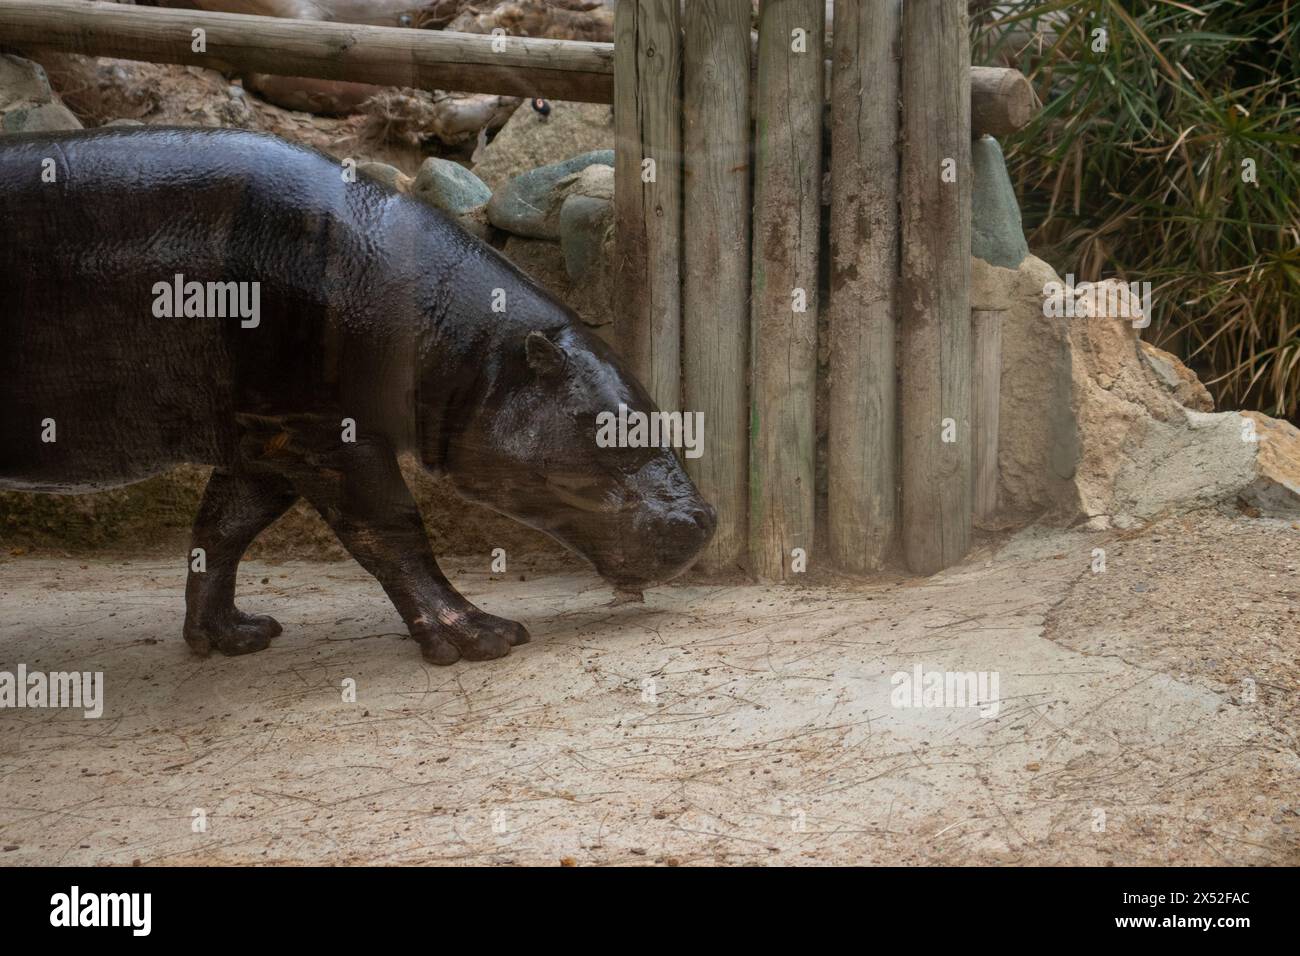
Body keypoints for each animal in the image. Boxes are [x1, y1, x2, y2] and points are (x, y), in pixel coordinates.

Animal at [0, 127, 715, 665]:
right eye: (605, 424)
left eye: (653, 409)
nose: (704, 519)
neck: (459, 342)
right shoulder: (322, 431)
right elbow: (391, 528)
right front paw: (485, 638)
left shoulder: (264, 437)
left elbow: (223, 530)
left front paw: (234, 637)